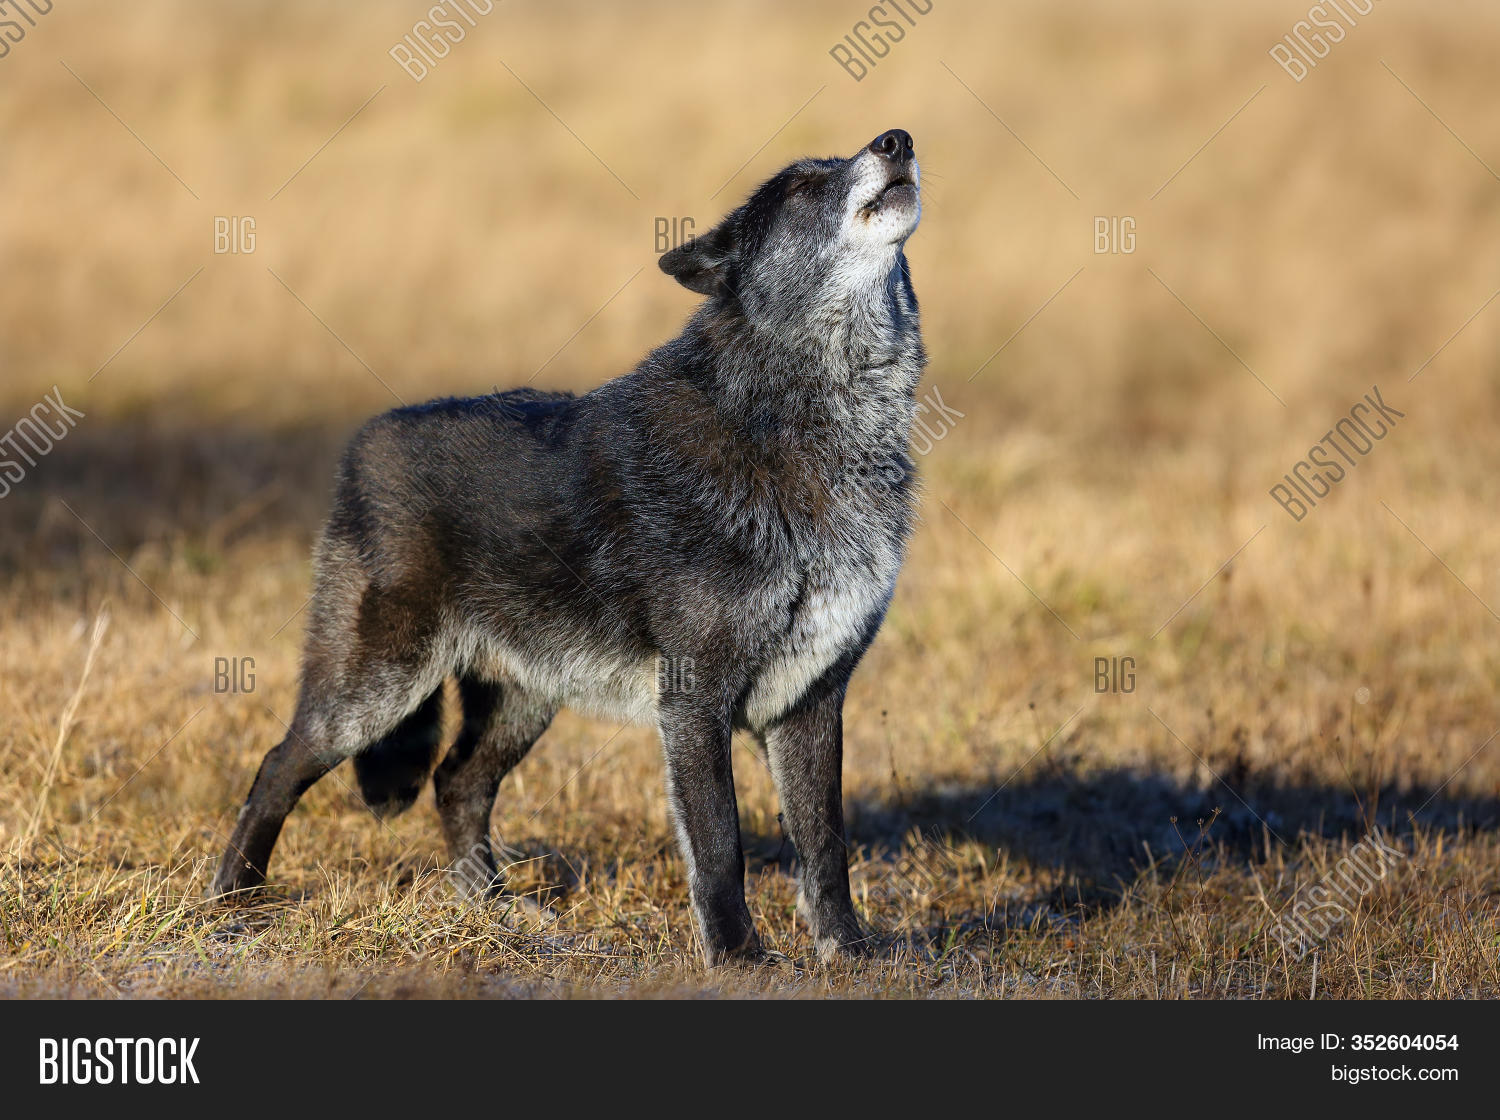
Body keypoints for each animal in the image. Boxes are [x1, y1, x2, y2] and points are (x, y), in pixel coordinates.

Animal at [210, 128, 925, 966]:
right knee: (278, 765)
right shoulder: (694, 700)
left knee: (456, 784)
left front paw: (849, 952)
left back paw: (495, 910)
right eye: (804, 186)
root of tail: (363, 444)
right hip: (375, 691)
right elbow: (721, 848)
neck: (803, 431)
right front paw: (740, 960)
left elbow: (826, 848)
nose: (896, 140)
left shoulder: (813, 700)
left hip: (523, 700)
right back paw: (234, 896)